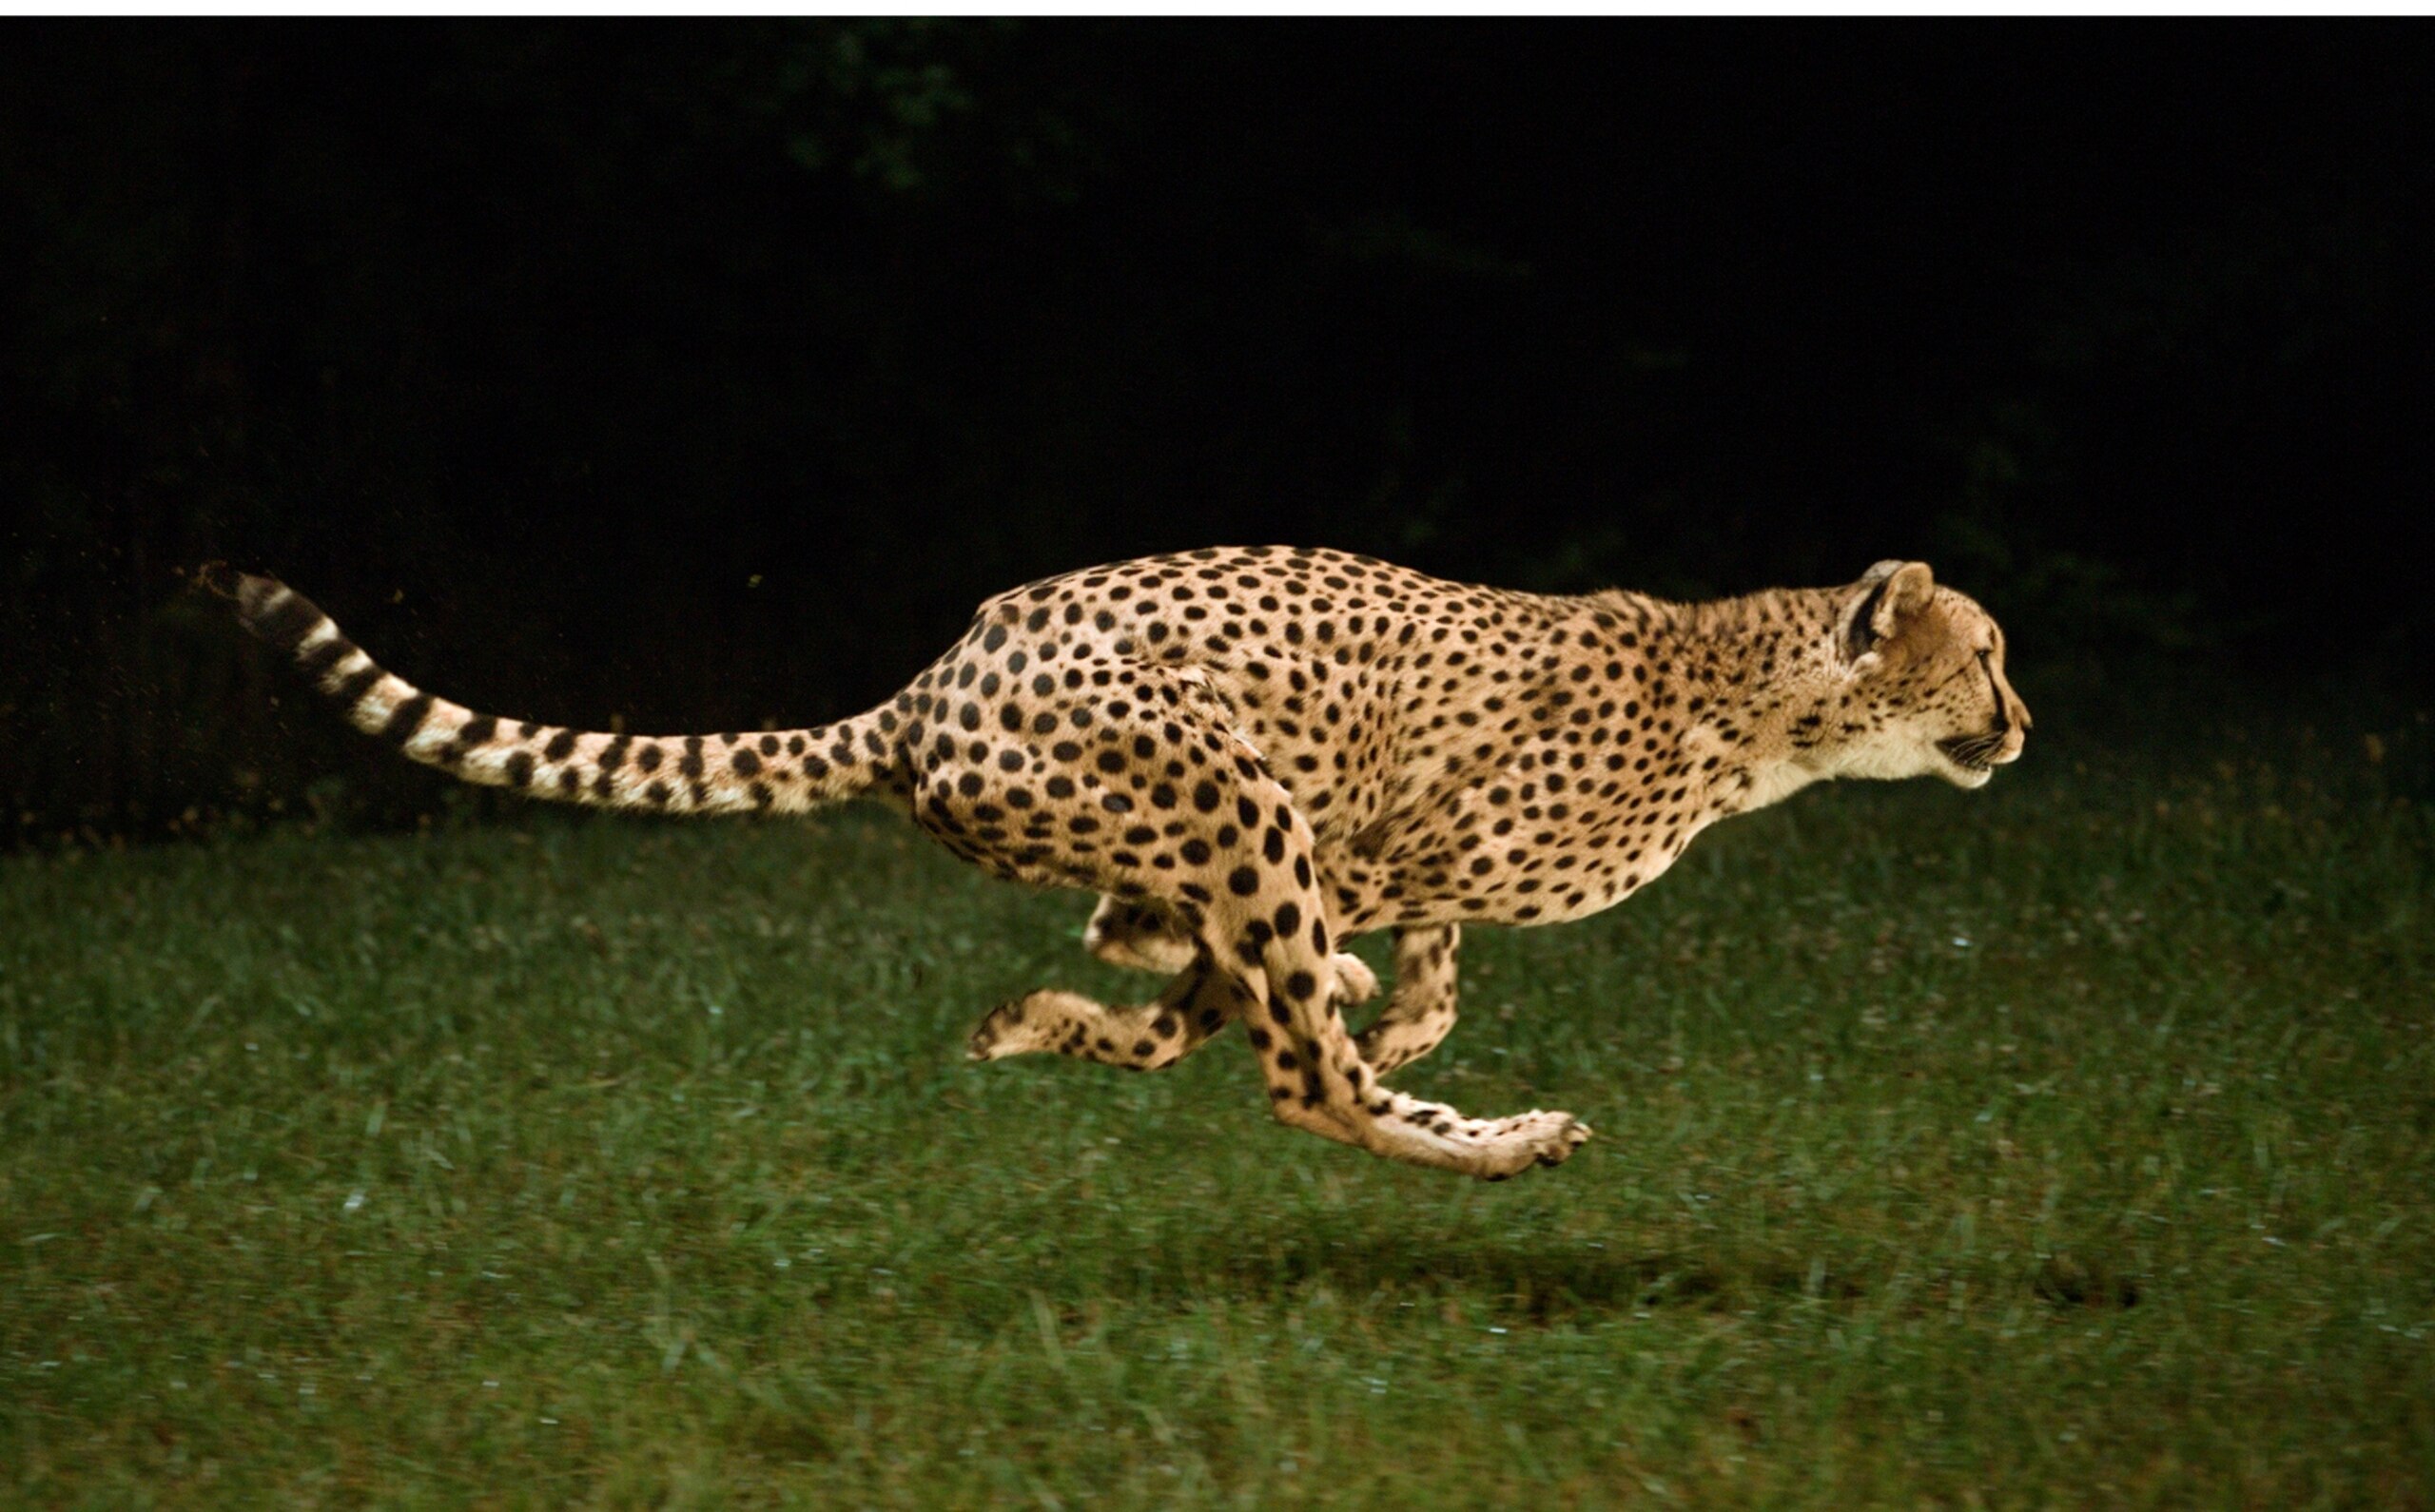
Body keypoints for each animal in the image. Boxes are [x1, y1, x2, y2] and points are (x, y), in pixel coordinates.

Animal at [204, 547, 2028, 1180]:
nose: (2021, 723)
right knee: (1302, 1083)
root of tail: (933, 674)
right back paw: (1500, 1140)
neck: (1758, 698)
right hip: (1233, 792)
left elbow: (1272, 980)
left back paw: (1042, 1023)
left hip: (1196, 817)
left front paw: (1391, 1002)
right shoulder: (1357, 840)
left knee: (1194, 996)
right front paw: (1389, 1016)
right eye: (1988, 656)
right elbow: (1296, 988)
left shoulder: (1367, 860)